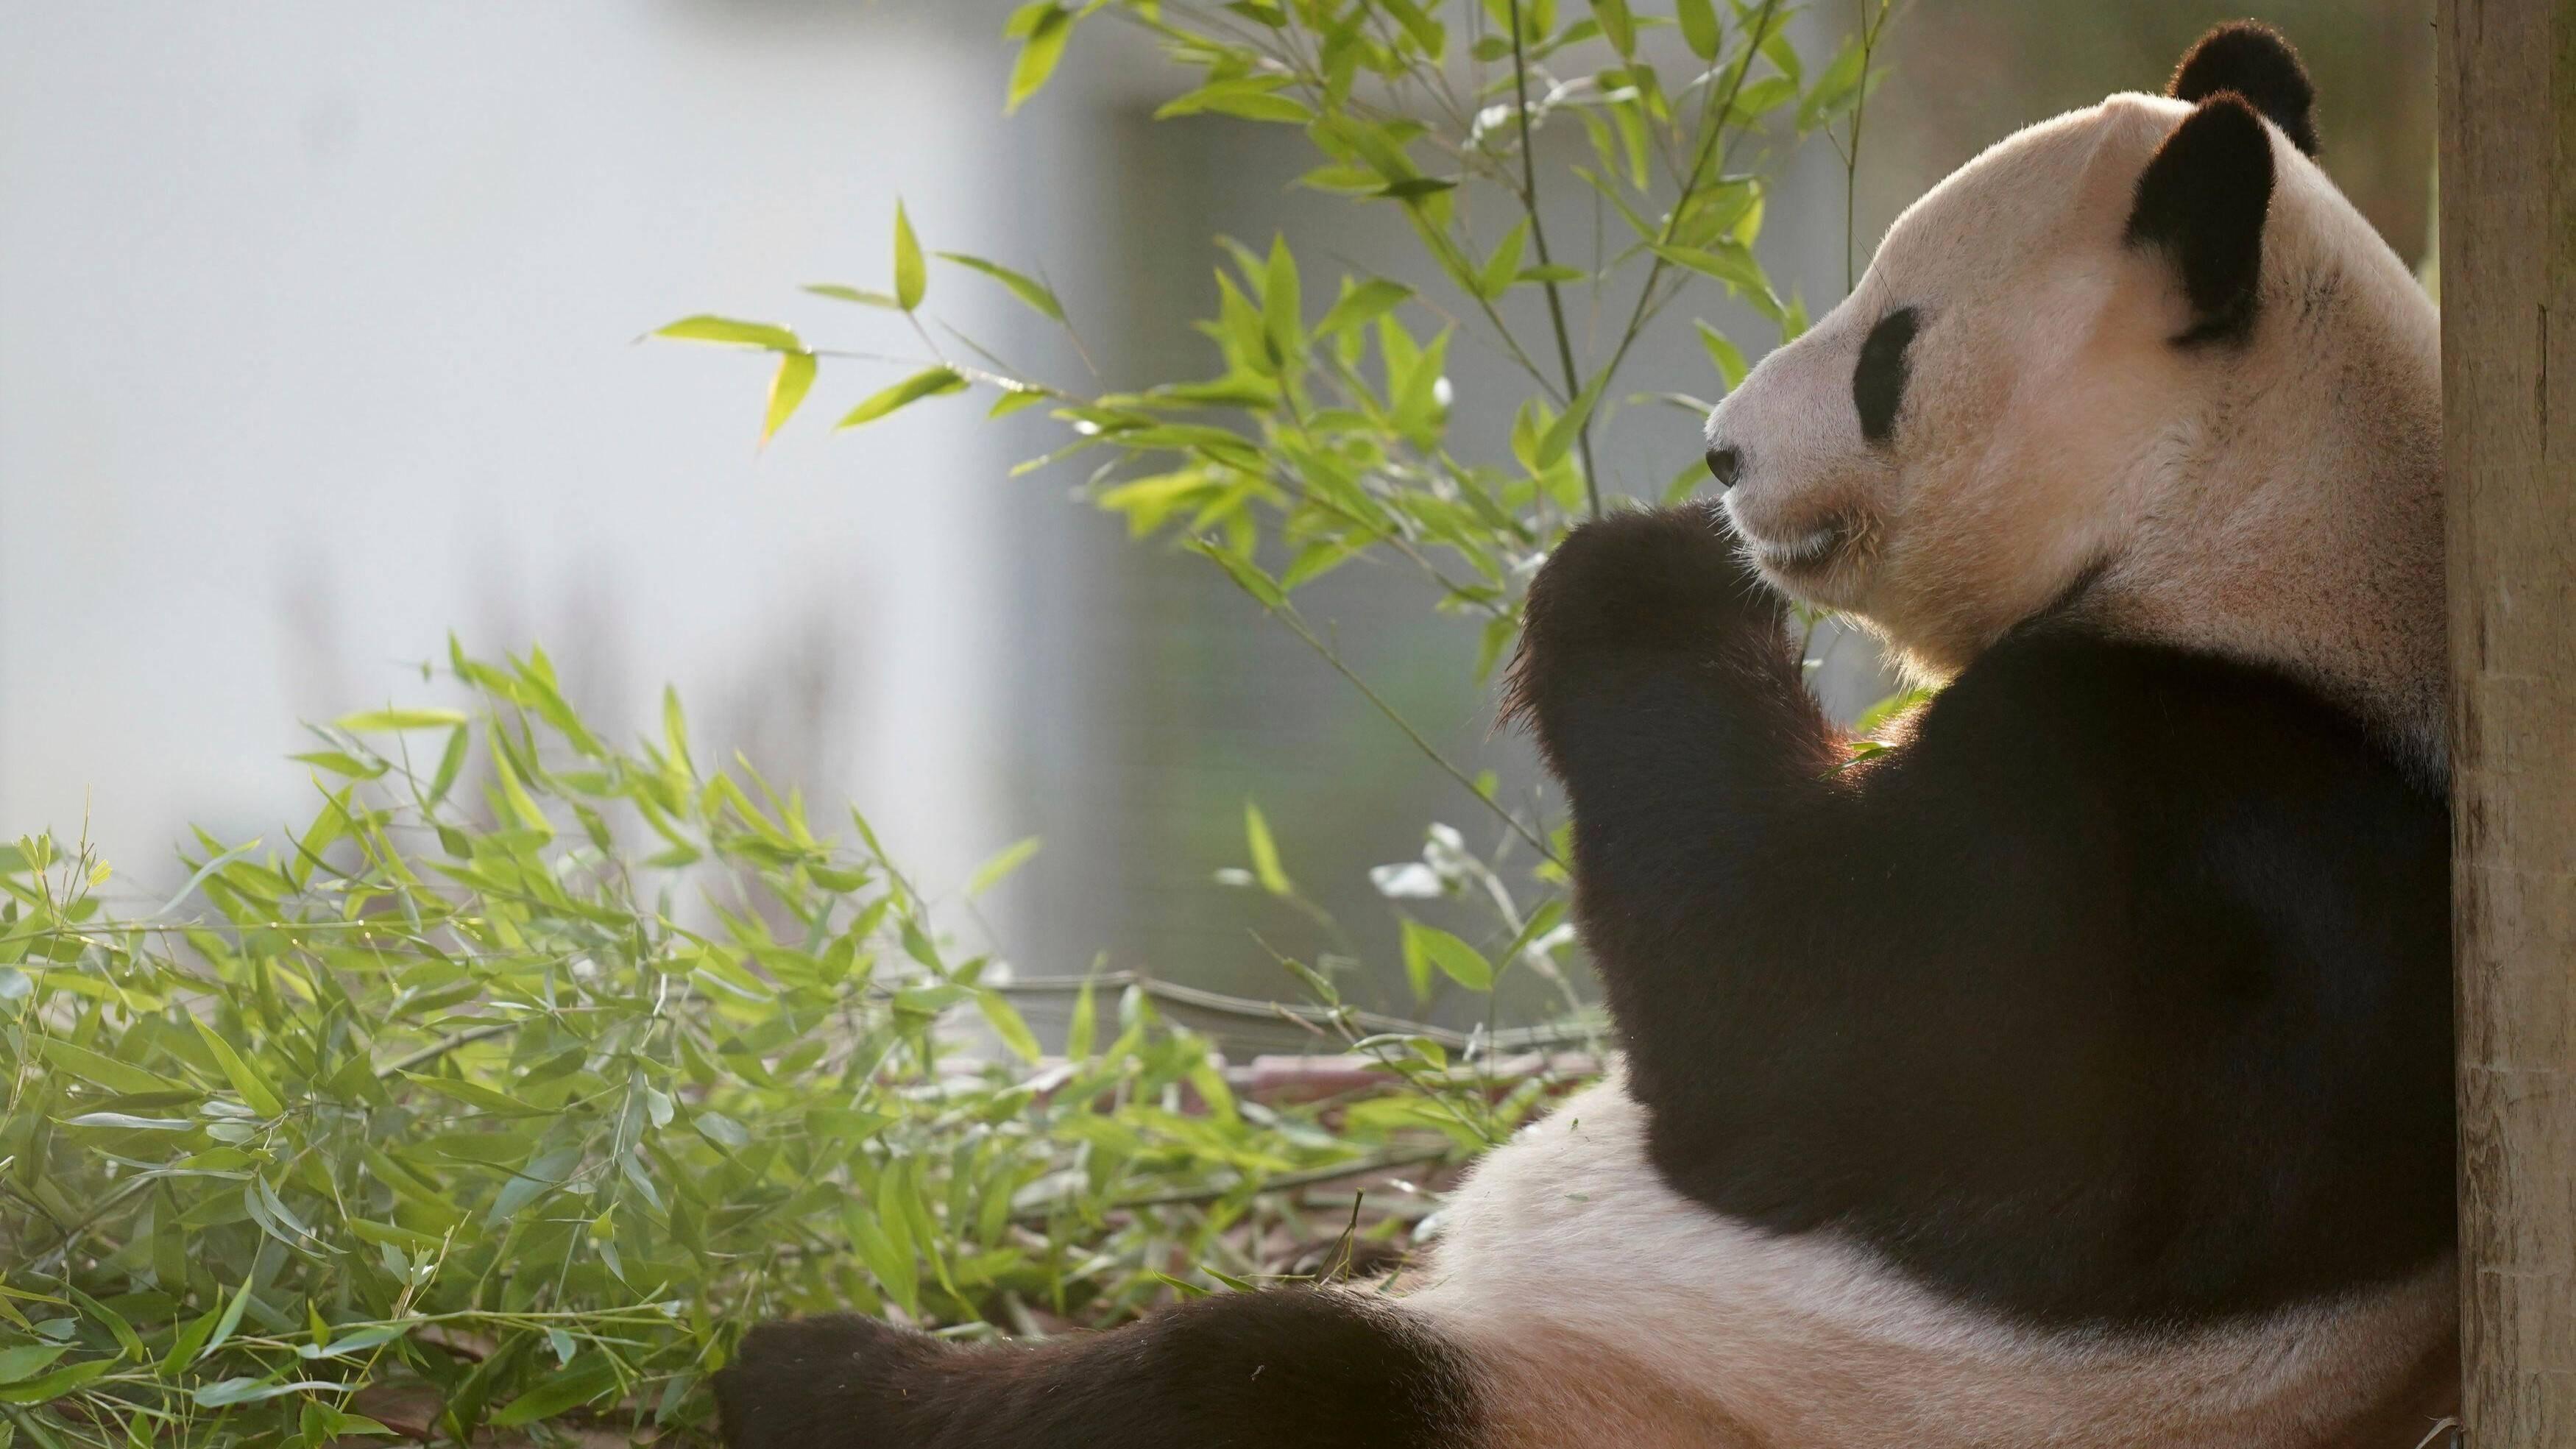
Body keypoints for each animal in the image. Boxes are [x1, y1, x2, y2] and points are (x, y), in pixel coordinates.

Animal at [714, 22, 2454, 1449]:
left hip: (1634, 1403)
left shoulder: (2187, 807)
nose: (1726, 449)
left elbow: (1813, 1037)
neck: (2250, 514)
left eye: (1887, 350)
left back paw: (812, 1371)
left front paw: (1637, 568)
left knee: (1259, 1388)